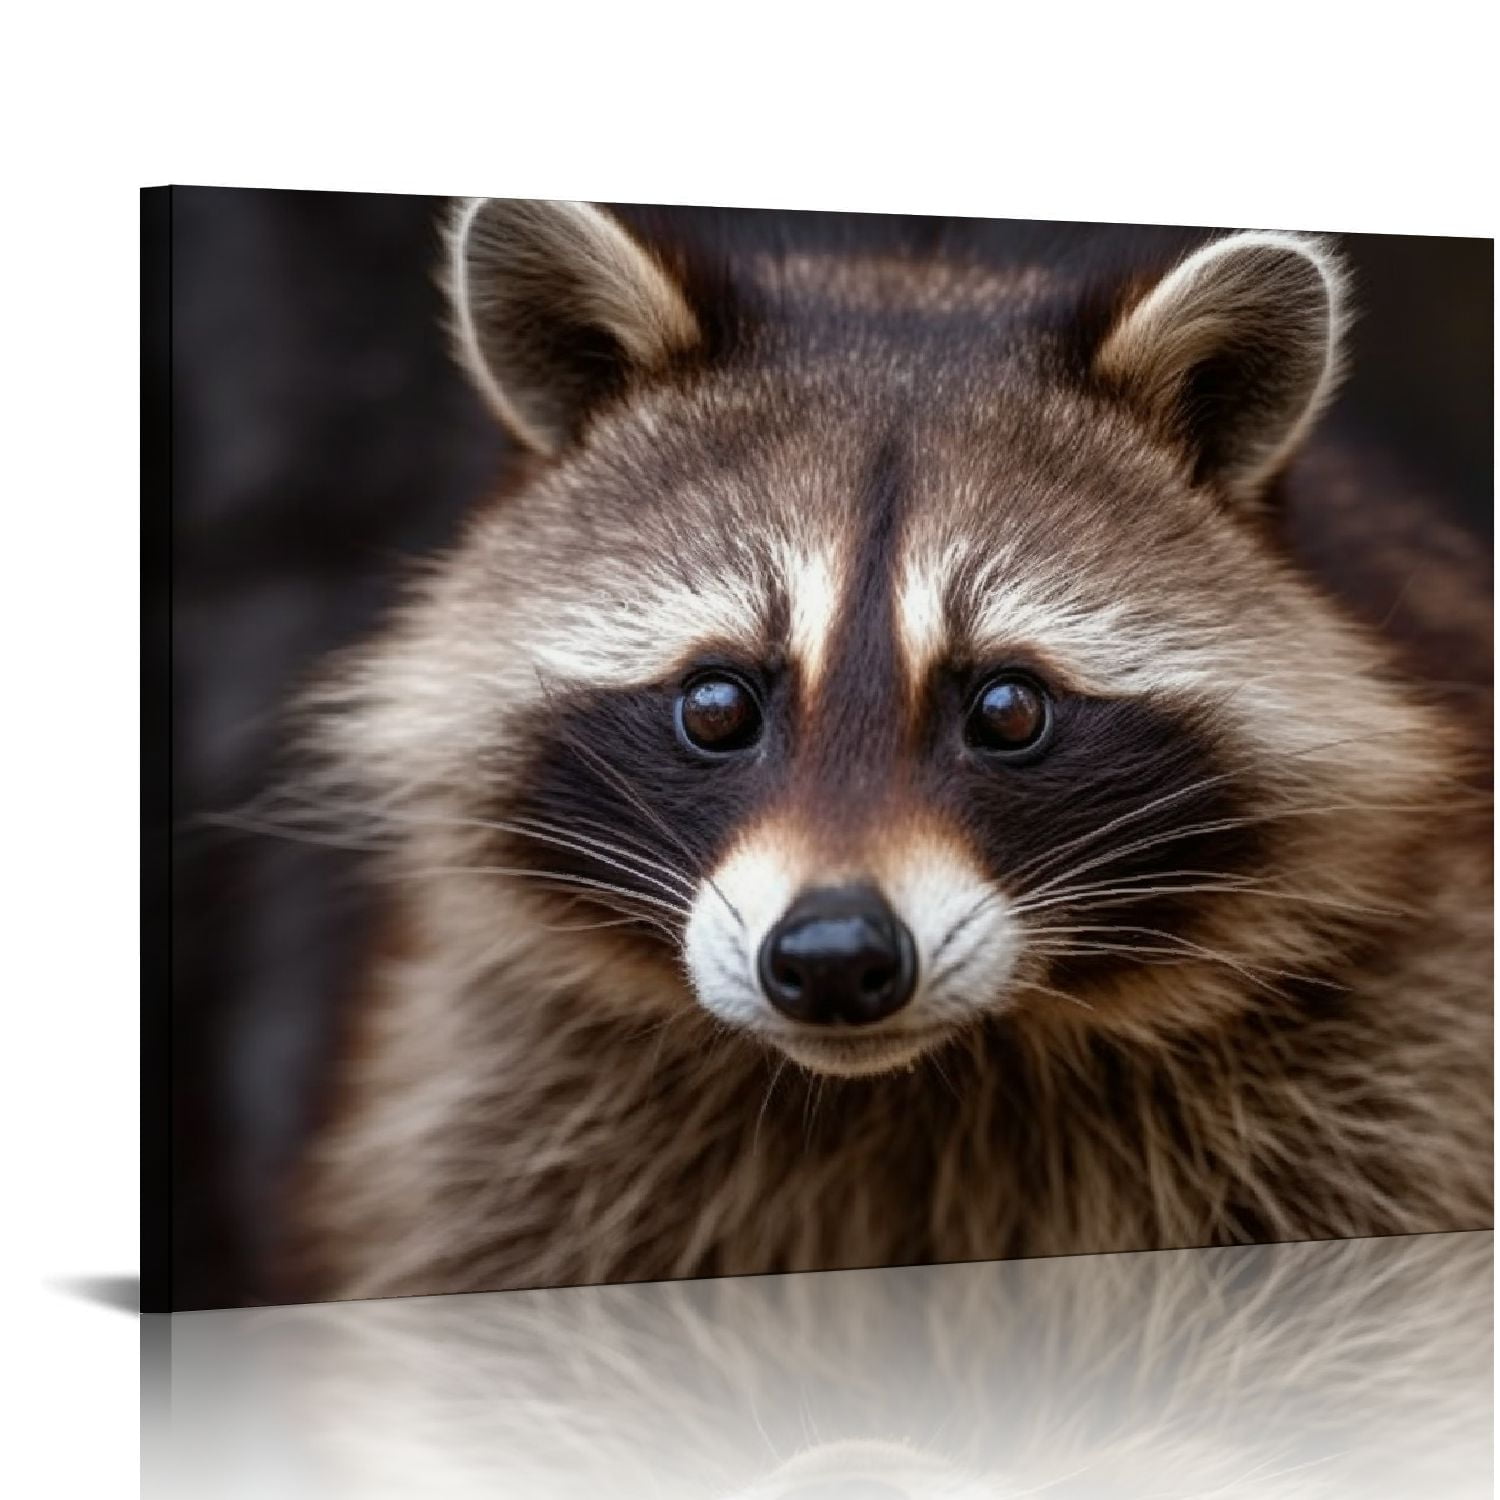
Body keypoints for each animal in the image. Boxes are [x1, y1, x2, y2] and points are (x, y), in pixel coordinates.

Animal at [283, 201, 1491, 1301]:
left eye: (1008, 710)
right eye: (716, 704)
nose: (832, 958)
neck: (907, 1089)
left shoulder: (1399, 1063)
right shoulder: (507, 1116)